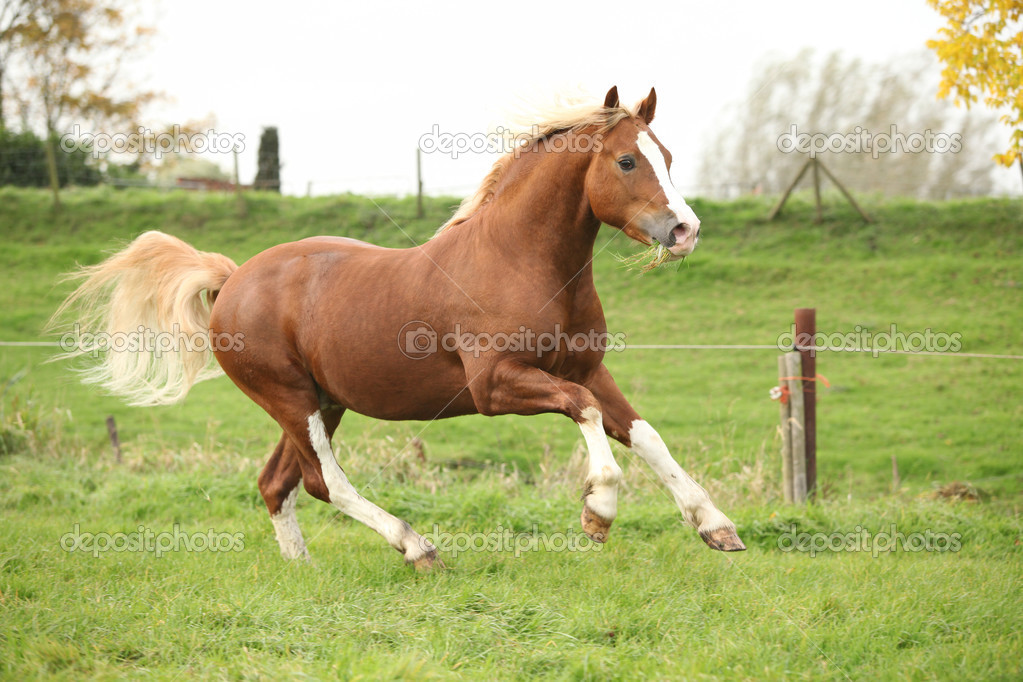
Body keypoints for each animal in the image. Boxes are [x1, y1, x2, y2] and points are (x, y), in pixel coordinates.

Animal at [53, 86, 746, 570]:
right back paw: (417, 548)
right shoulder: (497, 386)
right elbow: (586, 412)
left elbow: (644, 433)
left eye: (668, 157)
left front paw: (715, 525)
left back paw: (303, 569)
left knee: (277, 483)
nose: (685, 230)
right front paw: (598, 512)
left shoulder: (587, 368)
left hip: (321, 401)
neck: (522, 261)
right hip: (290, 397)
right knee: (322, 481)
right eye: (627, 161)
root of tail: (232, 279)